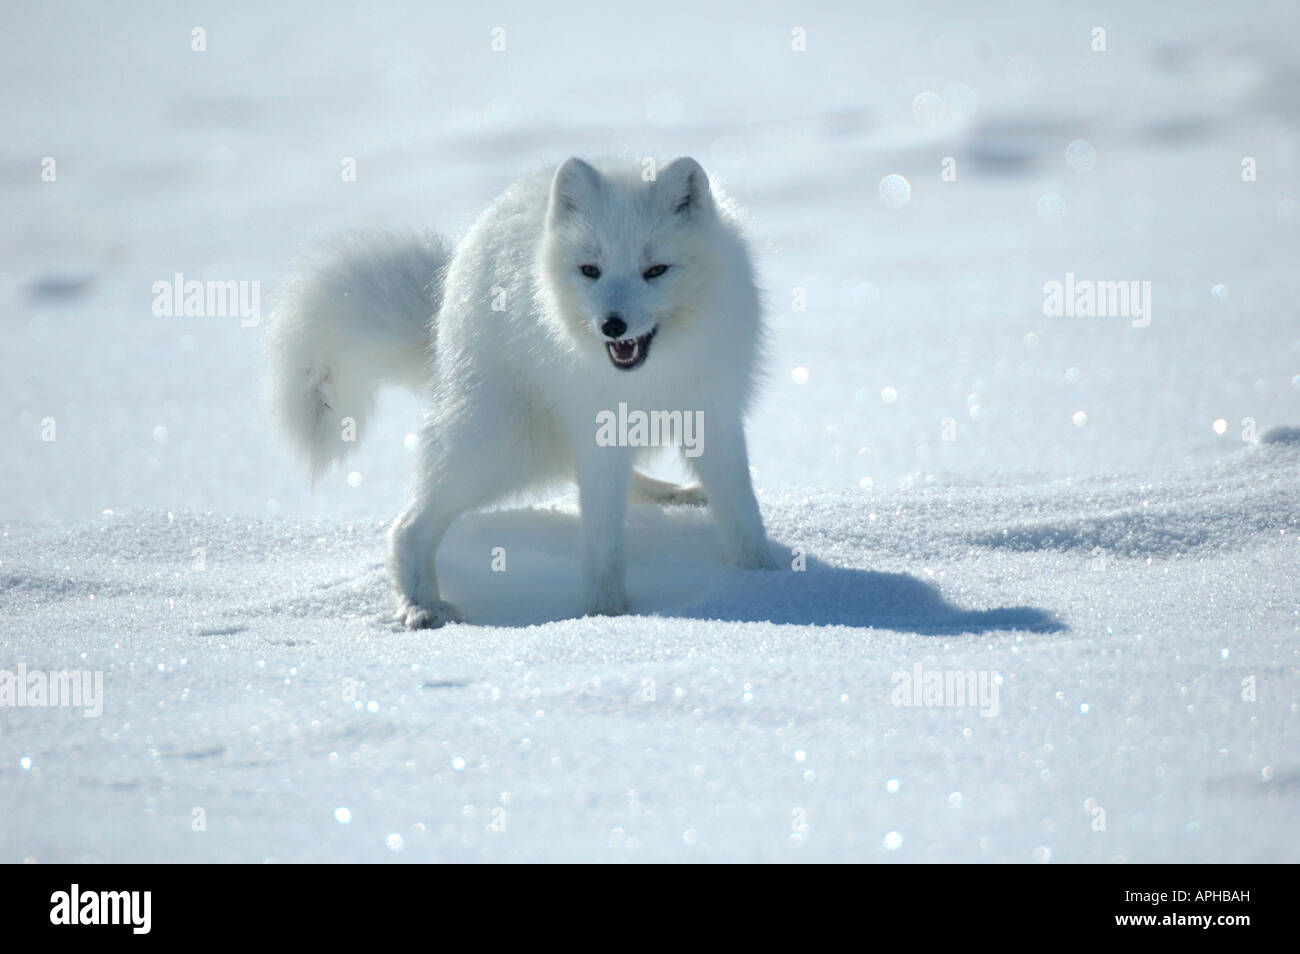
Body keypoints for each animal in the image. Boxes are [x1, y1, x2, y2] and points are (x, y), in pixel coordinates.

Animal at [265, 157, 776, 628]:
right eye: (590, 270)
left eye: (656, 270)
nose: (612, 325)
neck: (653, 377)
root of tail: (443, 310)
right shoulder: (596, 430)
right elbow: (602, 540)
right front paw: (606, 614)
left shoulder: (714, 417)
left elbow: (742, 513)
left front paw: (762, 578)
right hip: (501, 446)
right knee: (406, 528)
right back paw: (420, 606)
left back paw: (675, 495)